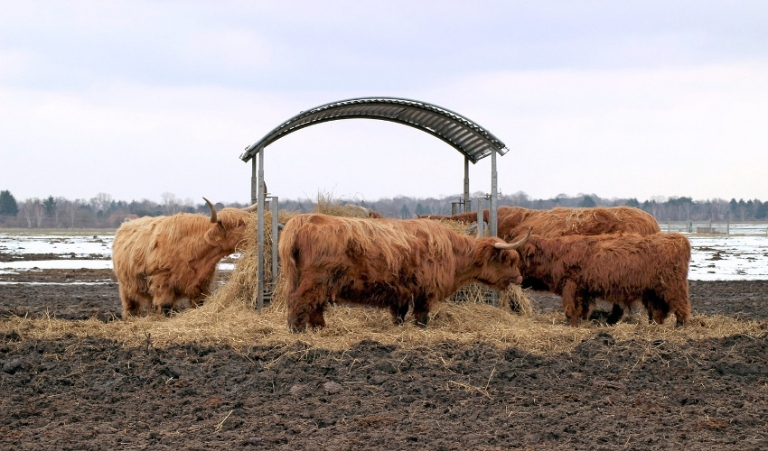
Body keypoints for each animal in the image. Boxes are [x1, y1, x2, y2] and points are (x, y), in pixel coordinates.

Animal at [112, 198, 256, 318]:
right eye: (238, 224)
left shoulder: (202, 284)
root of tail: (125, 224)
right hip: (125, 285)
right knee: (130, 304)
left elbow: (199, 304)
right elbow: (165, 307)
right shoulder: (162, 282)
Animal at [278, 213, 531, 332]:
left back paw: (319, 328)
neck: (454, 255)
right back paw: (297, 330)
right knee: (300, 301)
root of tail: (305, 219)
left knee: (314, 306)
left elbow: (399, 315)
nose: (519, 278)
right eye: (509, 259)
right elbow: (422, 316)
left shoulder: (400, 292)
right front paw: (420, 329)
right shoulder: (425, 291)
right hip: (316, 279)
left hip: (316, 281)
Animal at [517, 232, 691, 327]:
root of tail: (679, 239)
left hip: (673, 286)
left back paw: (680, 326)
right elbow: (581, 310)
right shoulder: (583, 290)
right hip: (653, 291)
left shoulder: (571, 286)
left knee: (681, 306)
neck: (555, 256)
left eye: (517, 255)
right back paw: (654, 326)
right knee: (659, 310)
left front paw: (572, 325)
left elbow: (571, 310)